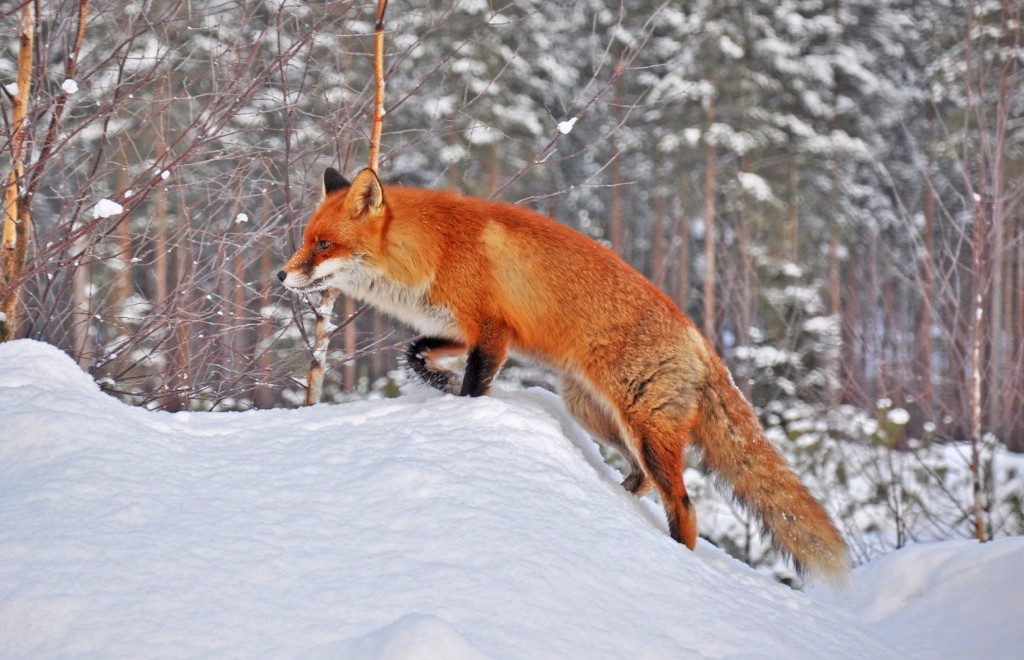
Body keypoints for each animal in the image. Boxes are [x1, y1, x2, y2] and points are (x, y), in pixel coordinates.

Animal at [279, 166, 850, 585]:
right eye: (306, 240)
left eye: (323, 245)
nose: (281, 275)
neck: (433, 249)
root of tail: (702, 342)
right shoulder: (468, 330)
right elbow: (413, 352)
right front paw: (437, 384)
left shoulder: (492, 332)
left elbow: (474, 386)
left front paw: (464, 410)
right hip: (597, 415)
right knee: (643, 481)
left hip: (643, 428)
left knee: (684, 507)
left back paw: (675, 561)